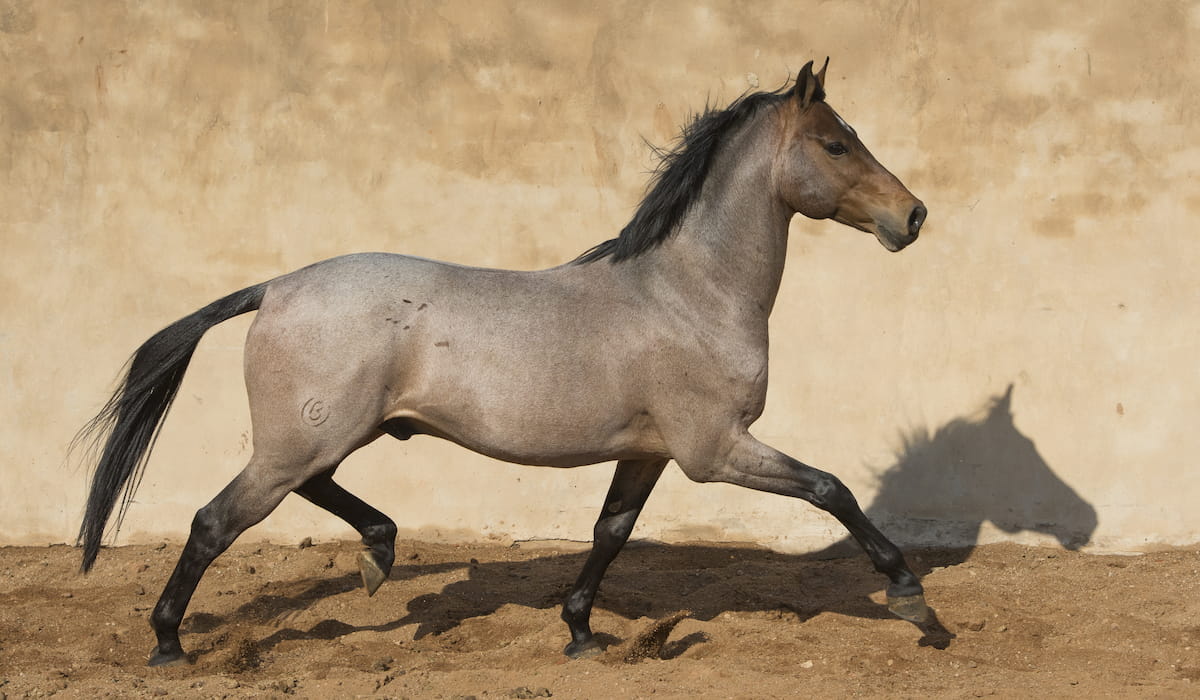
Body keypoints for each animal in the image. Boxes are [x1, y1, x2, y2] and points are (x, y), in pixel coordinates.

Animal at [75, 59, 930, 667]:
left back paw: (379, 554)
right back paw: (168, 644)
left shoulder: (650, 453)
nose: (913, 215)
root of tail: (276, 287)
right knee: (214, 522)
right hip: (302, 440)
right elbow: (831, 488)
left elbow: (610, 532)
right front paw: (912, 598)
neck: (691, 291)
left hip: (325, 435)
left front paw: (581, 633)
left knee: (310, 492)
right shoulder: (715, 449)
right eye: (835, 144)